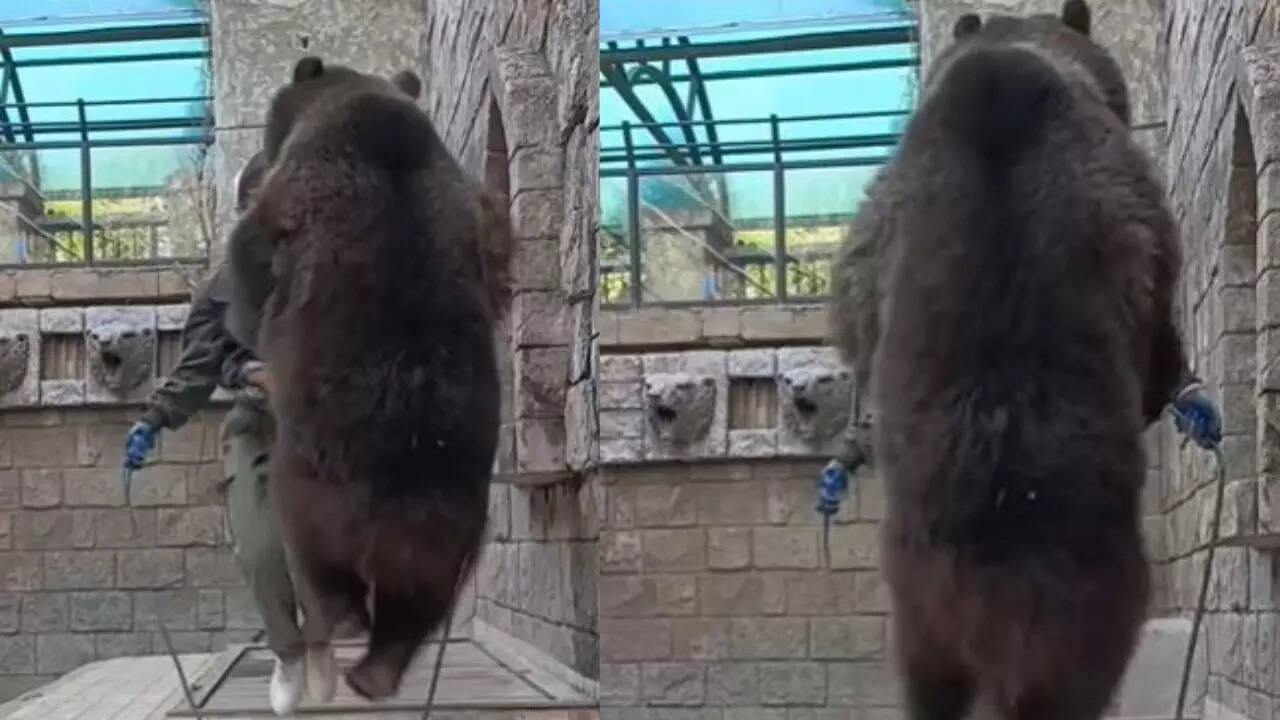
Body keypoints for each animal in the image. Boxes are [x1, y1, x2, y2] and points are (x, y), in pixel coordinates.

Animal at [223, 56, 512, 701]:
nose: (248, 165)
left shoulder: (294, 195)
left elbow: (252, 260)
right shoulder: (468, 211)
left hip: (312, 493)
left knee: (323, 570)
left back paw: (343, 637)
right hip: (452, 524)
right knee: (416, 607)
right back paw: (374, 673)